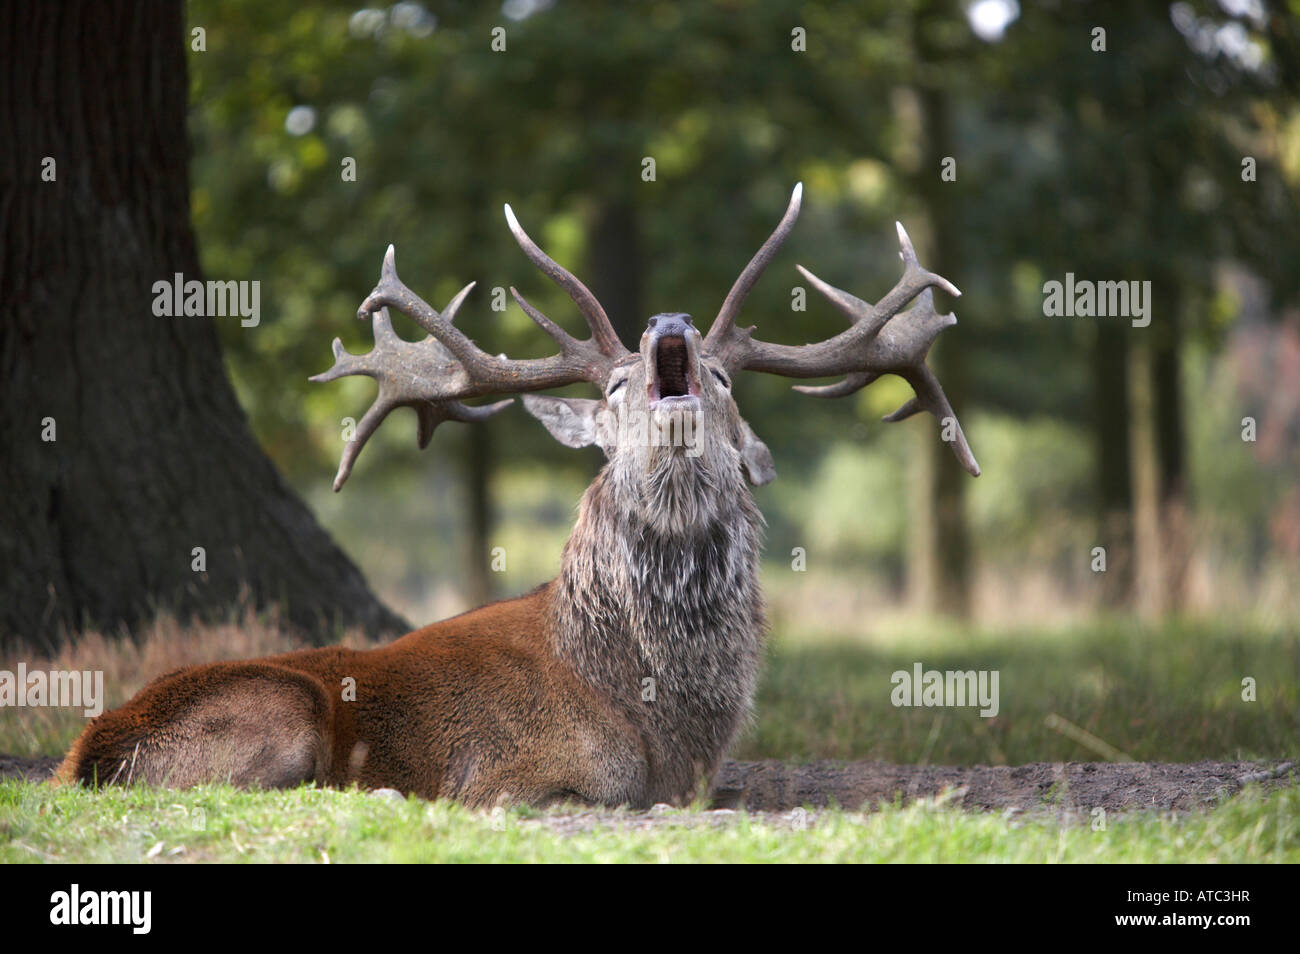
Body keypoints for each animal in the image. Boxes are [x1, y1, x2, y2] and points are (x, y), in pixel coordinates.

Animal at [56, 184, 979, 808]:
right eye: (613, 386)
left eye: (722, 377)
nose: (667, 322)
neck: (661, 720)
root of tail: (85, 754)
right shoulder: (515, 774)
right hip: (275, 705)